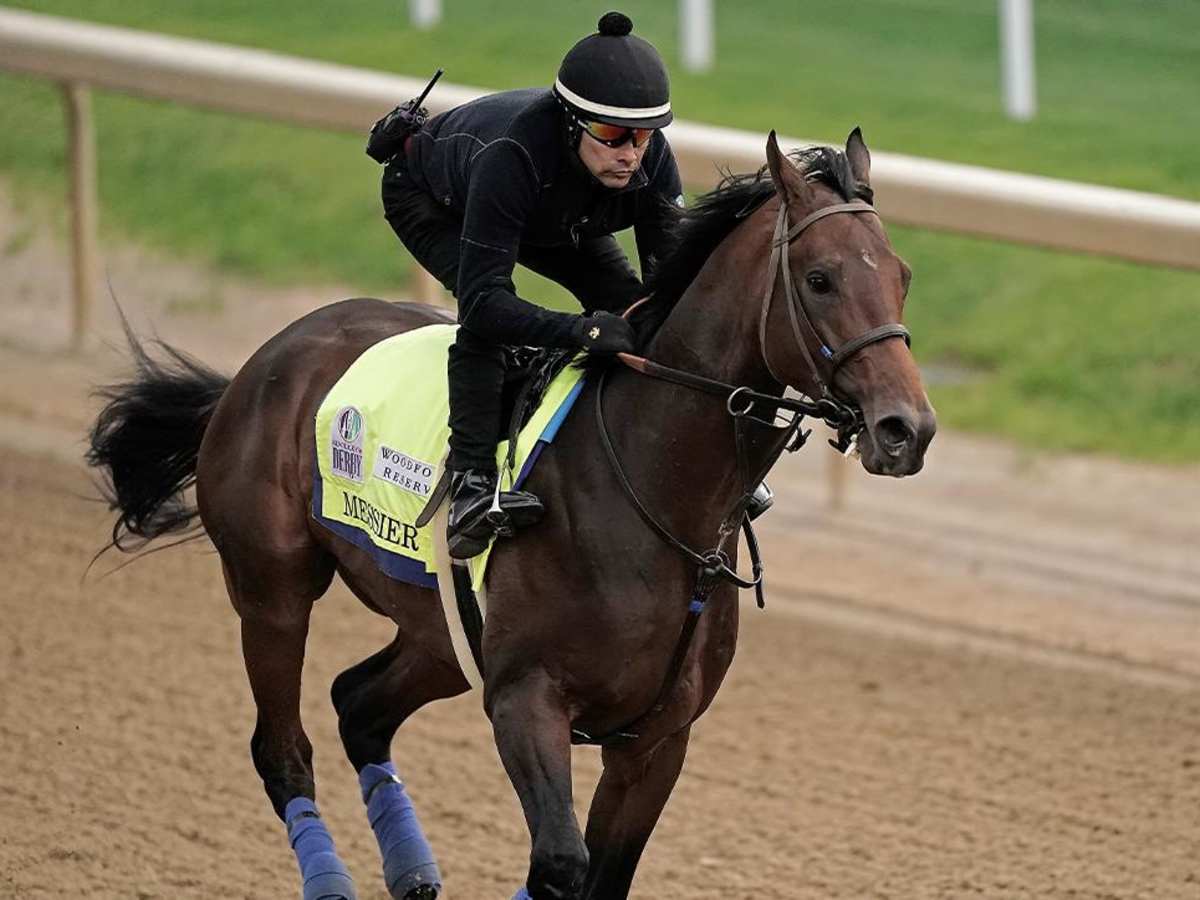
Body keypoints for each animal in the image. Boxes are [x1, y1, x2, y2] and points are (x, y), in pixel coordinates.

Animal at [87, 129, 935, 900]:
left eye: (903, 277)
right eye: (820, 279)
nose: (907, 429)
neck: (659, 498)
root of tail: (265, 359)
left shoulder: (658, 737)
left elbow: (600, 875)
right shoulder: (527, 700)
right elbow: (560, 864)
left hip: (441, 632)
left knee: (358, 705)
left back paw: (413, 872)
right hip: (273, 589)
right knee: (282, 748)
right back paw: (331, 880)